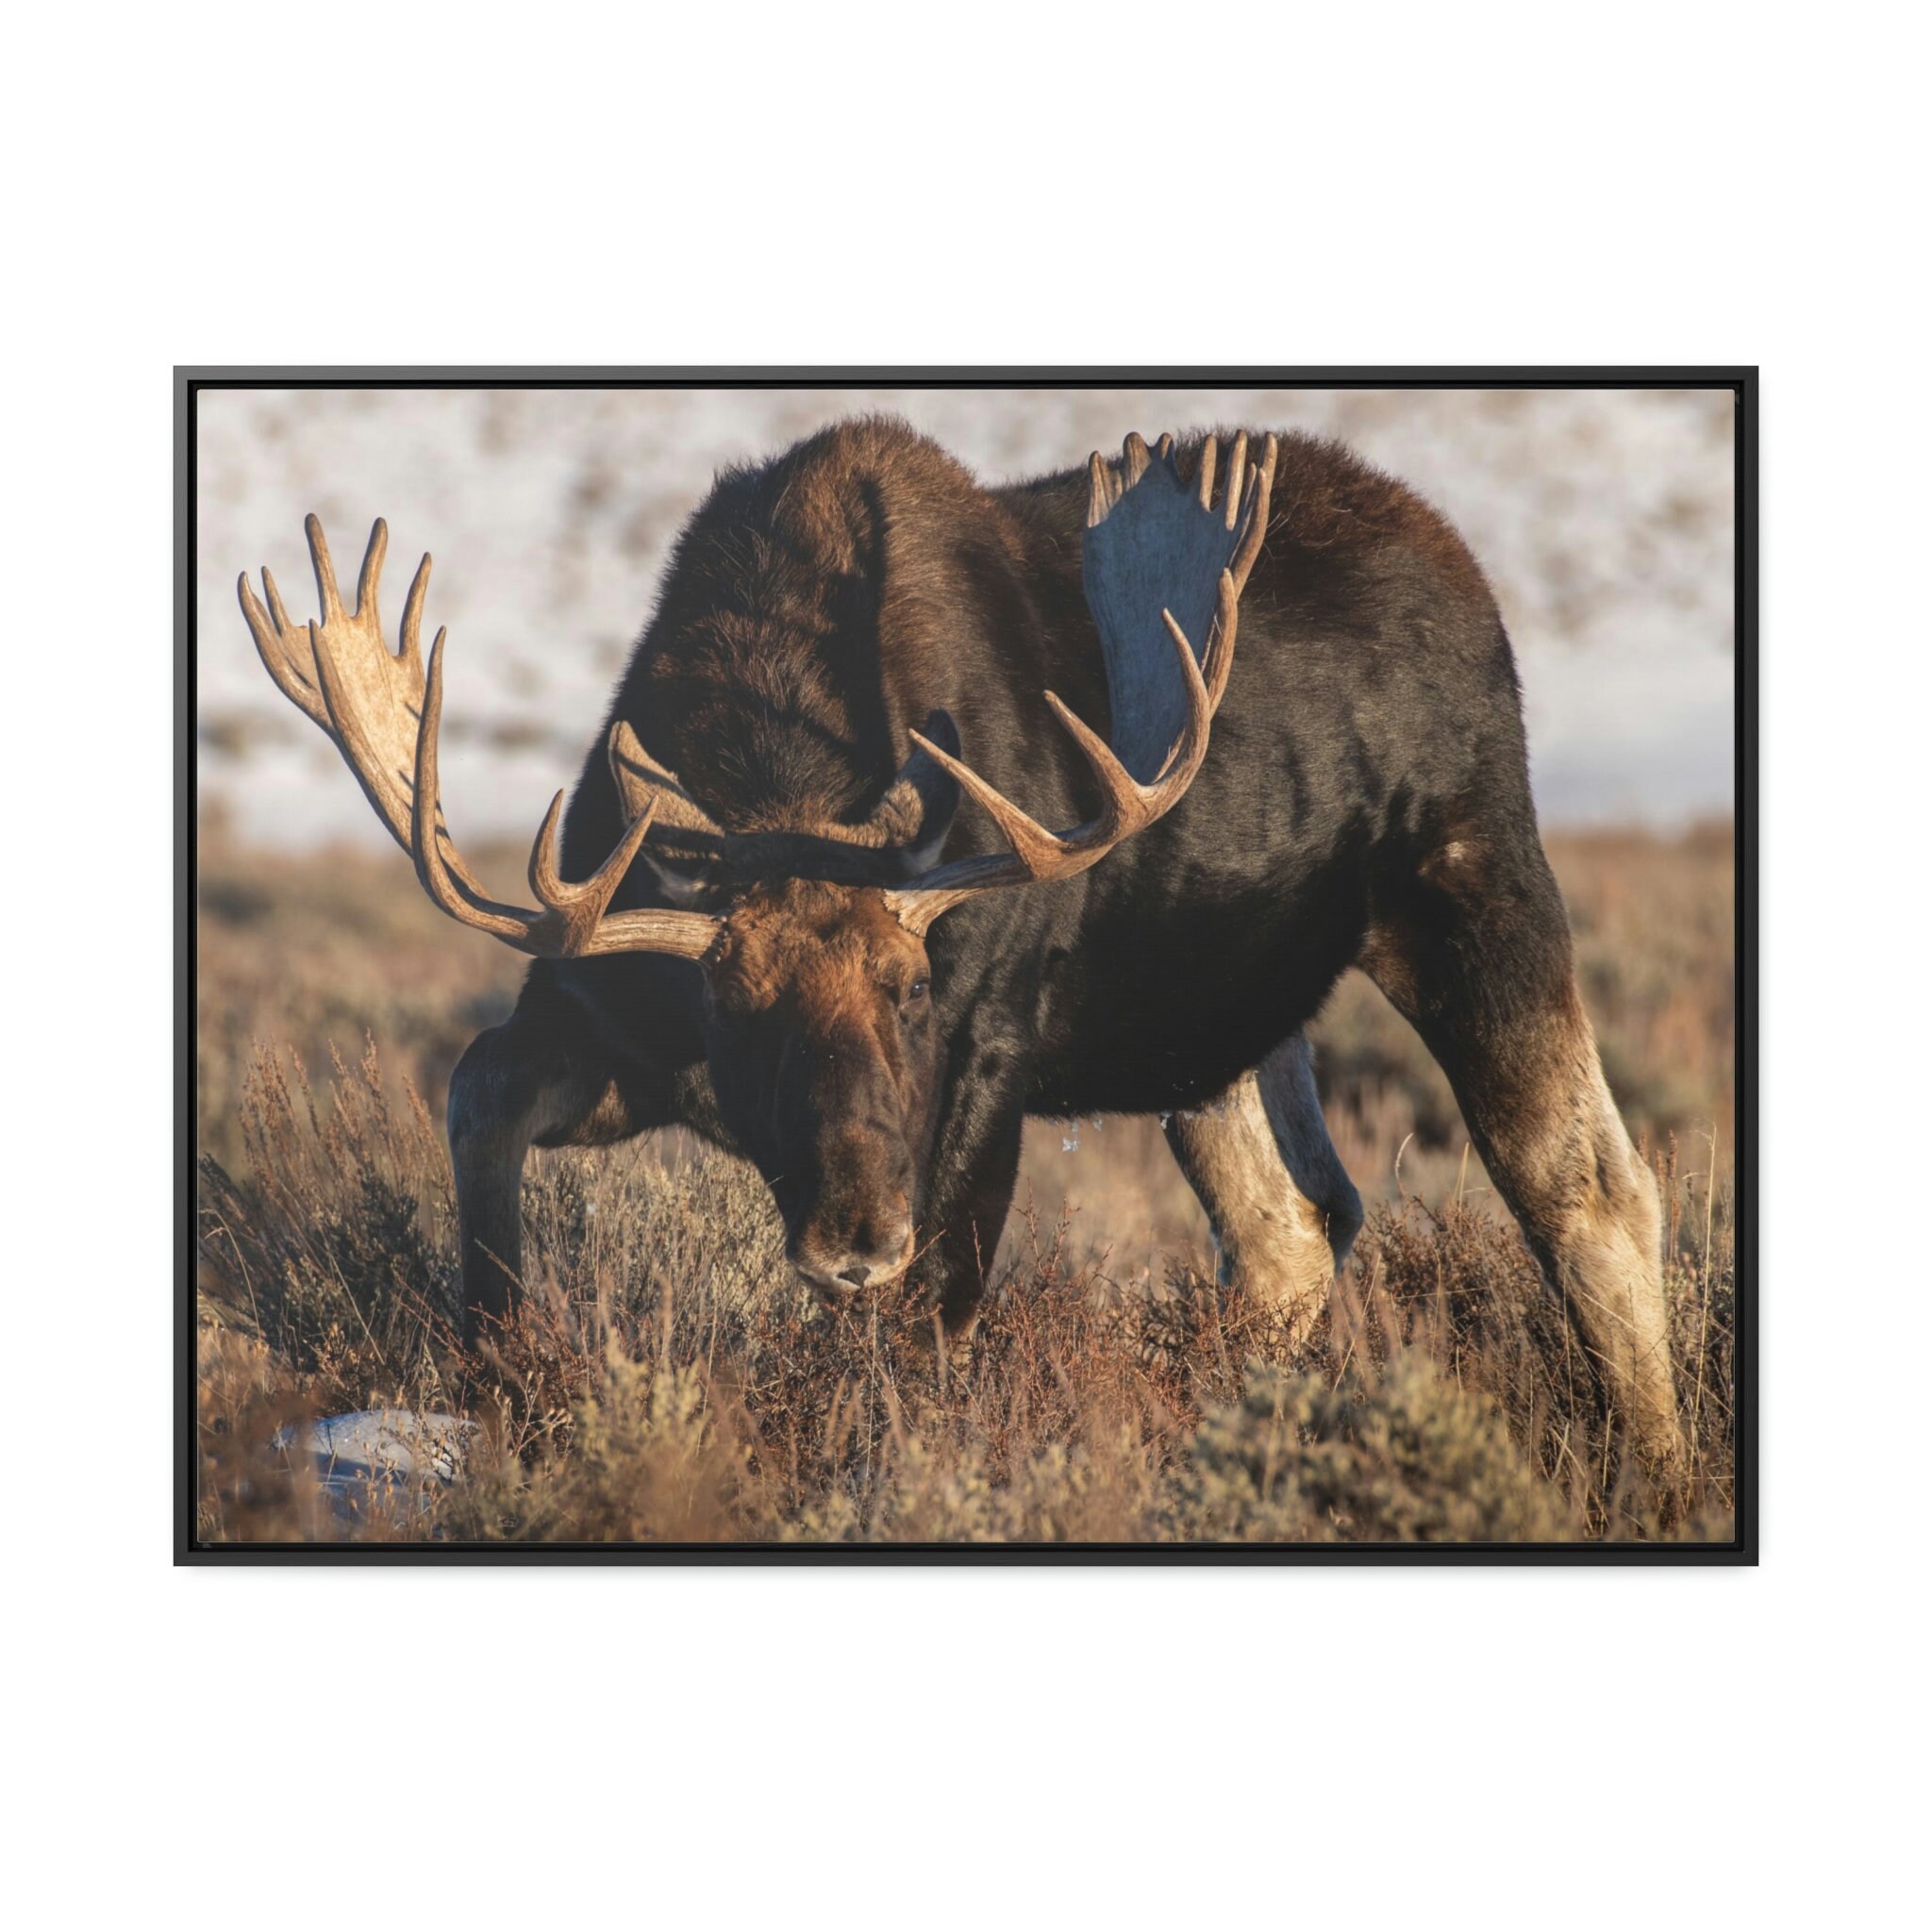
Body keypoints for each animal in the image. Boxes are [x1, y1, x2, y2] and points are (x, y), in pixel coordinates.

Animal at [239, 416, 1682, 1463]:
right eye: (731, 1003)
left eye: (911, 986)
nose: (848, 1236)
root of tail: (1459, 558)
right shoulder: (615, 1024)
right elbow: (476, 1089)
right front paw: (493, 1363)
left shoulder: (989, 1063)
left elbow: (932, 1320)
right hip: (1217, 1028)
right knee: (1294, 1220)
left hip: (1472, 874)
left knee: (1586, 1184)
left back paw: (1651, 1462)